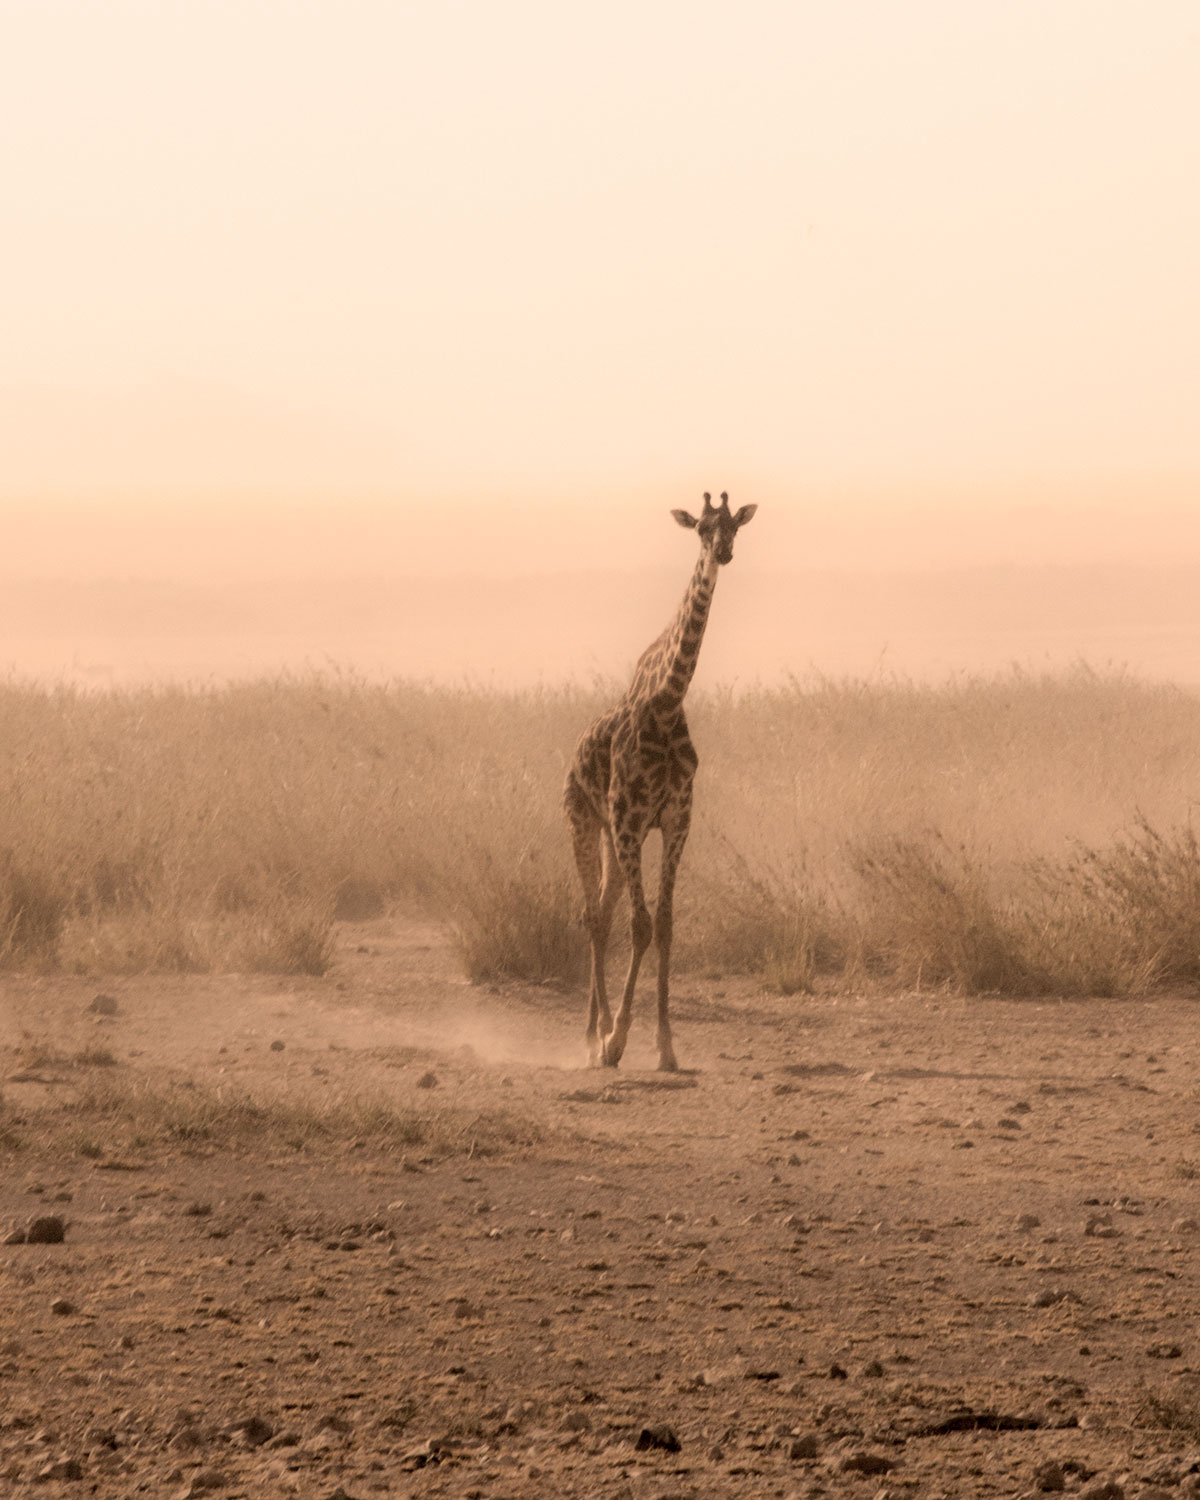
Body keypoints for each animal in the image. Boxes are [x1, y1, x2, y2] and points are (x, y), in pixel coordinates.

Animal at [563, 492, 757, 1071]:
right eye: (699, 528)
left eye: (734, 526)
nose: (722, 553)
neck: (668, 703)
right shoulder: (630, 821)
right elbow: (641, 924)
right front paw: (618, 1042)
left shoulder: (675, 820)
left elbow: (666, 925)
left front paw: (667, 1047)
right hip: (584, 822)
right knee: (592, 915)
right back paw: (594, 1039)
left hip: (609, 835)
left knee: (602, 912)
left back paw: (595, 1032)